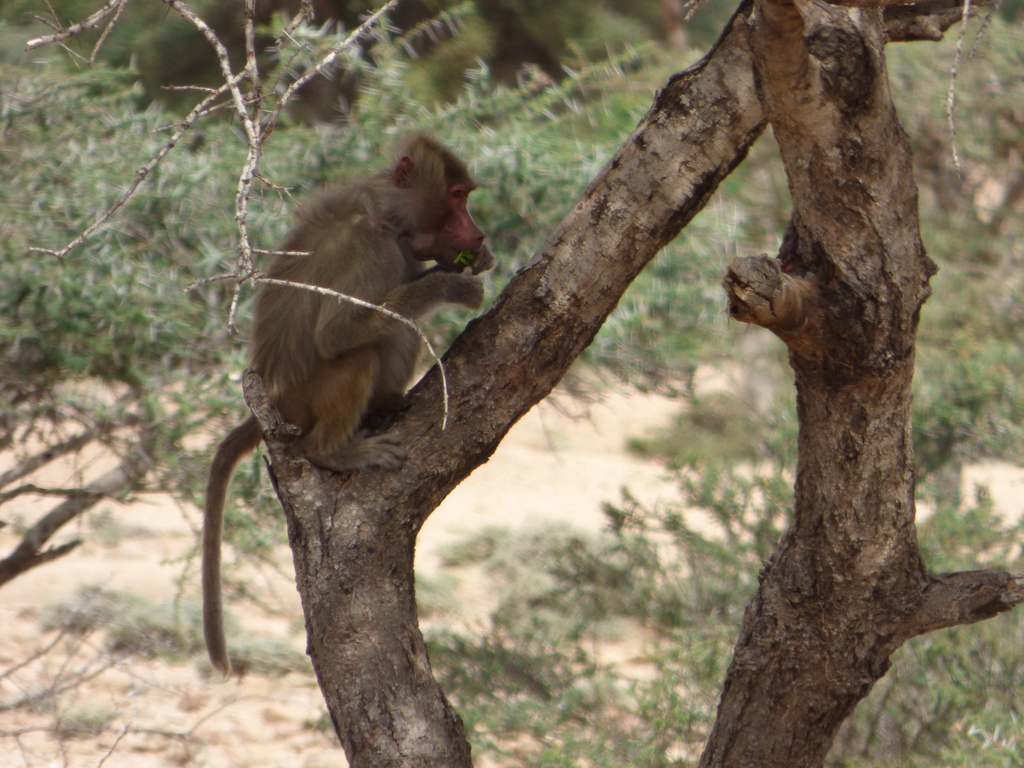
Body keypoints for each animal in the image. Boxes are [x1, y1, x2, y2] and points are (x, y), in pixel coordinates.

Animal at [202, 134, 495, 676]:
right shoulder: (370, 246)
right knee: (361, 348)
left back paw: (383, 407)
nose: (478, 231)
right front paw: (453, 283)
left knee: (397, 331)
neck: (386, 213)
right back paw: (334, 451)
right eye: (457, 196)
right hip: (305, 401)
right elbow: (338, 333)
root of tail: (273, 400)